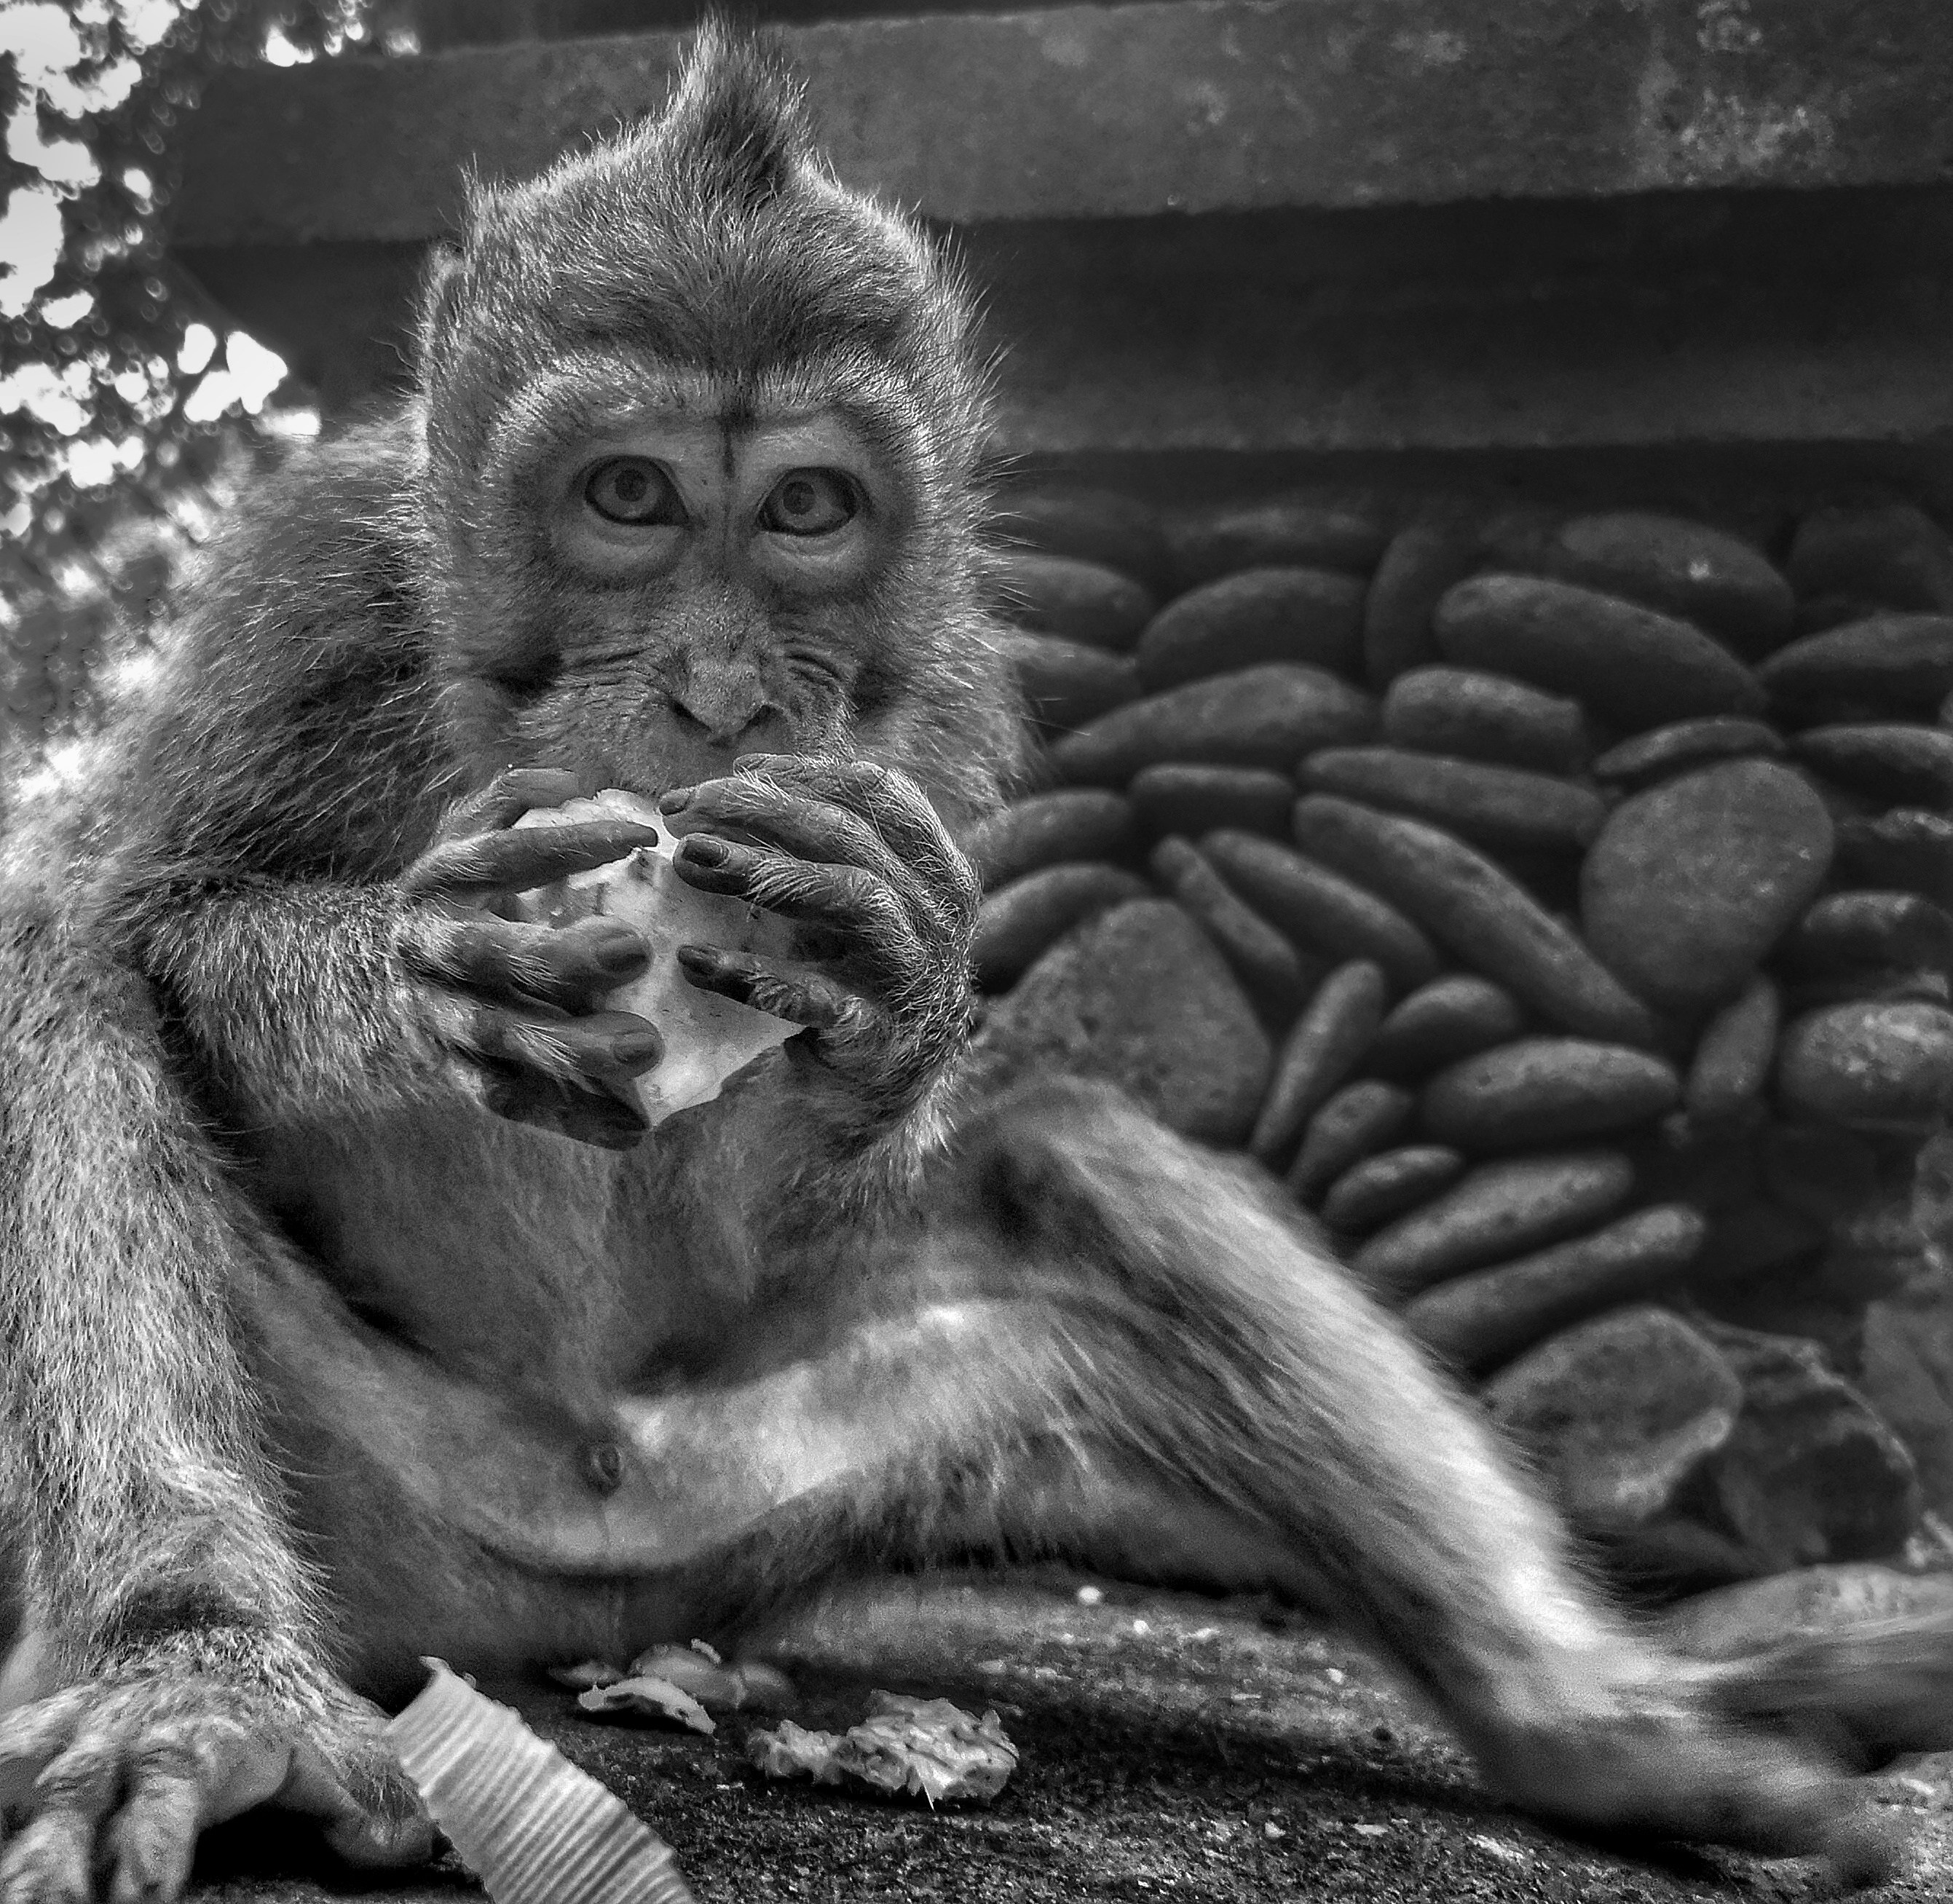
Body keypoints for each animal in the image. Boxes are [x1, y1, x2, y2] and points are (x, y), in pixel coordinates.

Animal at [0, 24, 1942, 1902]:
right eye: (627, 493)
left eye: (806, 508)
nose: (722, 688)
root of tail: (544, 1581)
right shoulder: (304, 588)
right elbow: (134, 909)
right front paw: (430, 965)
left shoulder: (938, 704)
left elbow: (773, 1187)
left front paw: (897, 986)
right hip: (361, 1504)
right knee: (61, 988)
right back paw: (201, 1670)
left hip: (753, 1499)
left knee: (1065, 1152)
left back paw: (1590, 1718)